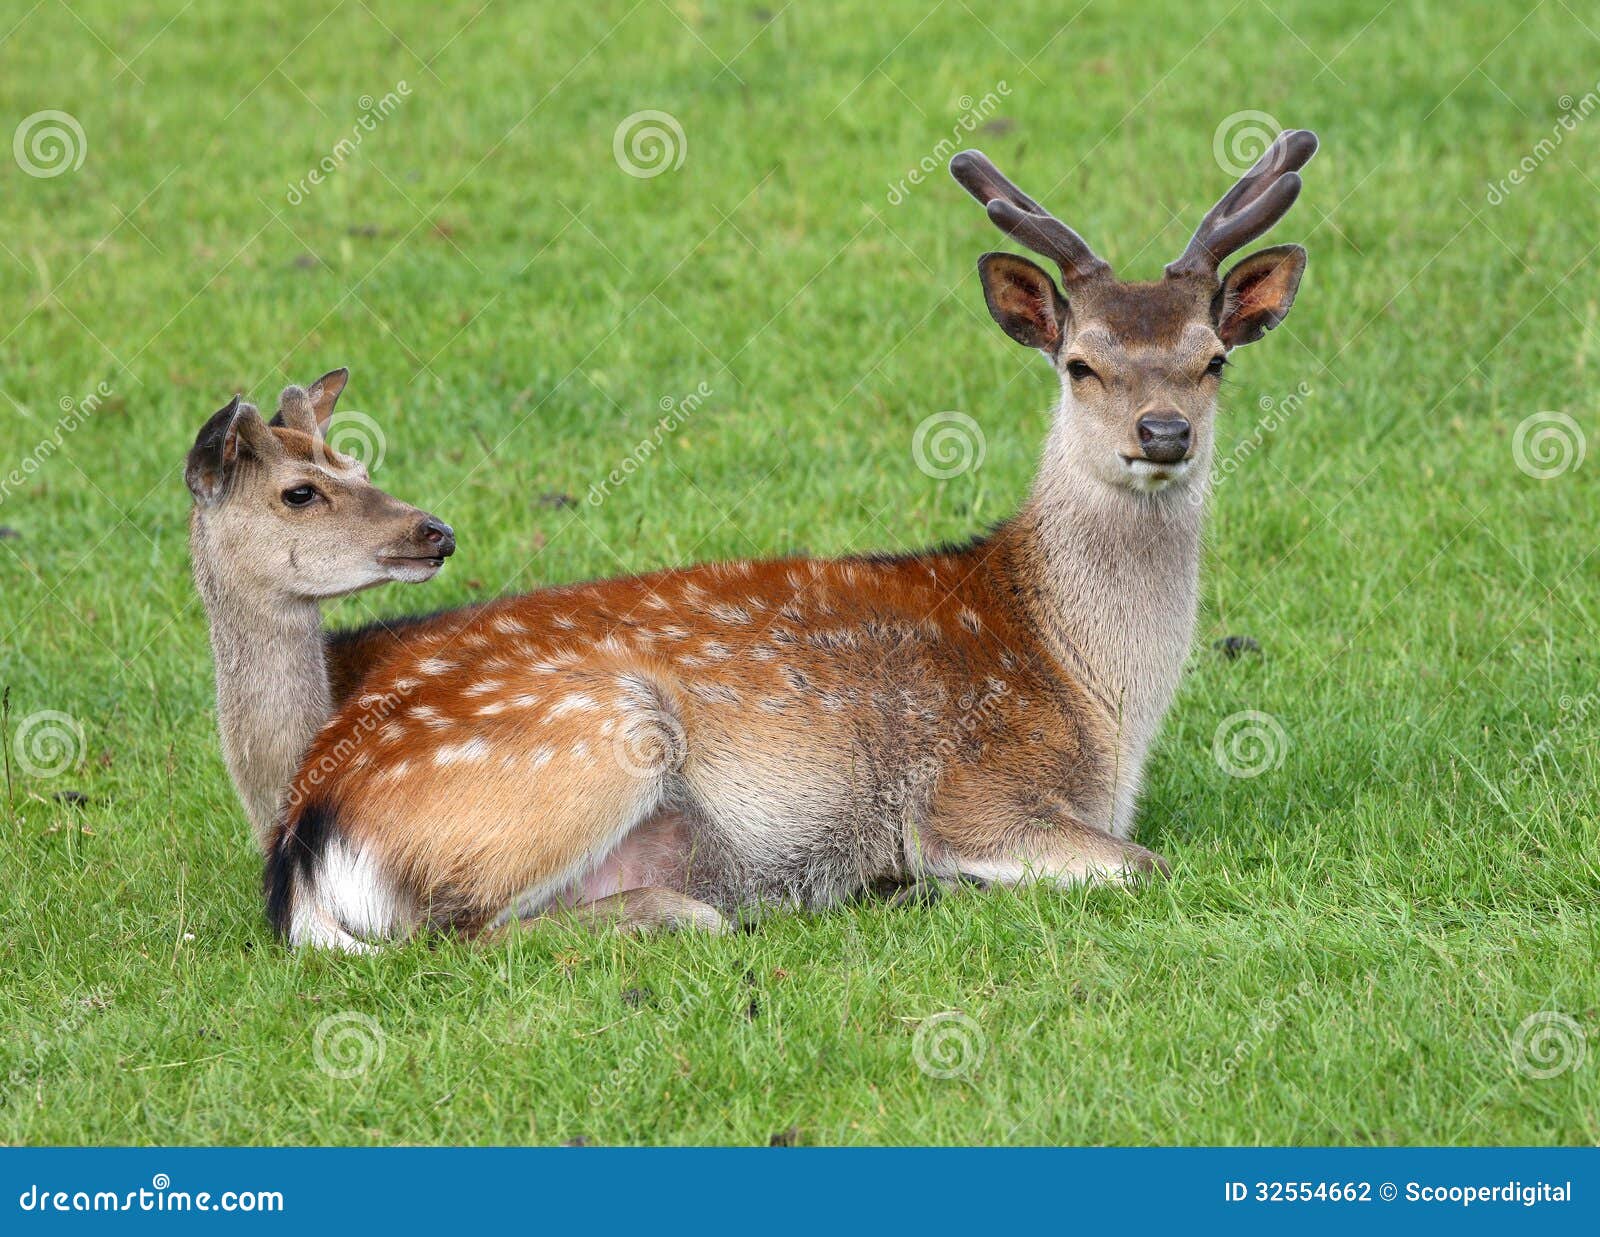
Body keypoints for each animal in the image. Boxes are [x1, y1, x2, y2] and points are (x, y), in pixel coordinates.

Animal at [265, 130, 1317, 950]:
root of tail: (302, 842)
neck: (1094, 696)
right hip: (600, 733)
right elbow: (1146, 861)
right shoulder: (973, 788)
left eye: (1213, 360)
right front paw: (930, 875)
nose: (1163, 433)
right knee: (461, 930)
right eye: (1081, 364)